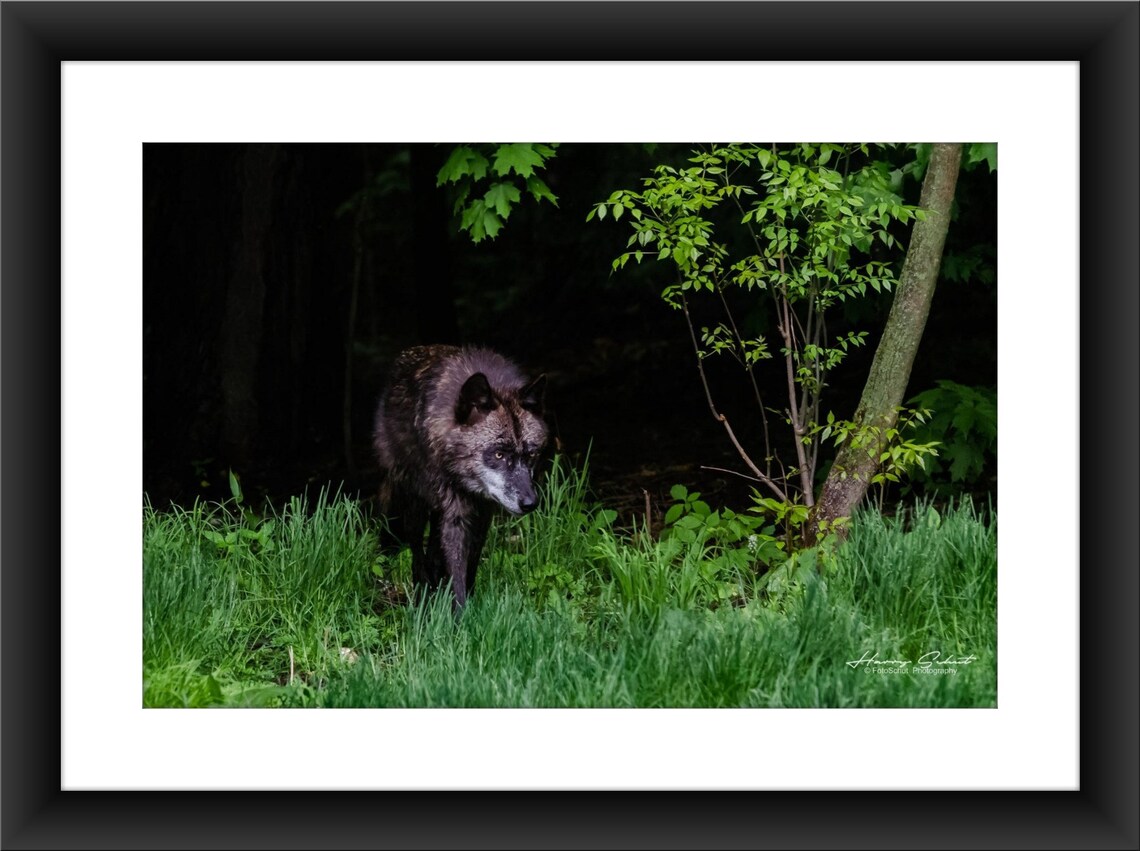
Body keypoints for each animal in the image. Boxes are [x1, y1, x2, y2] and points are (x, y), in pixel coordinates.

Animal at [373, 345, 548, 610]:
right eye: (499, 454)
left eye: (531, 455)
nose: (530, 503)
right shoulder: (455, 513)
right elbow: (455, 570)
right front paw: (459, 616)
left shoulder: (483, 511)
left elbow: (469, 565)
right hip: (415, 503)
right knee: (417, 550)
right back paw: (422, 595)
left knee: (433, 552)